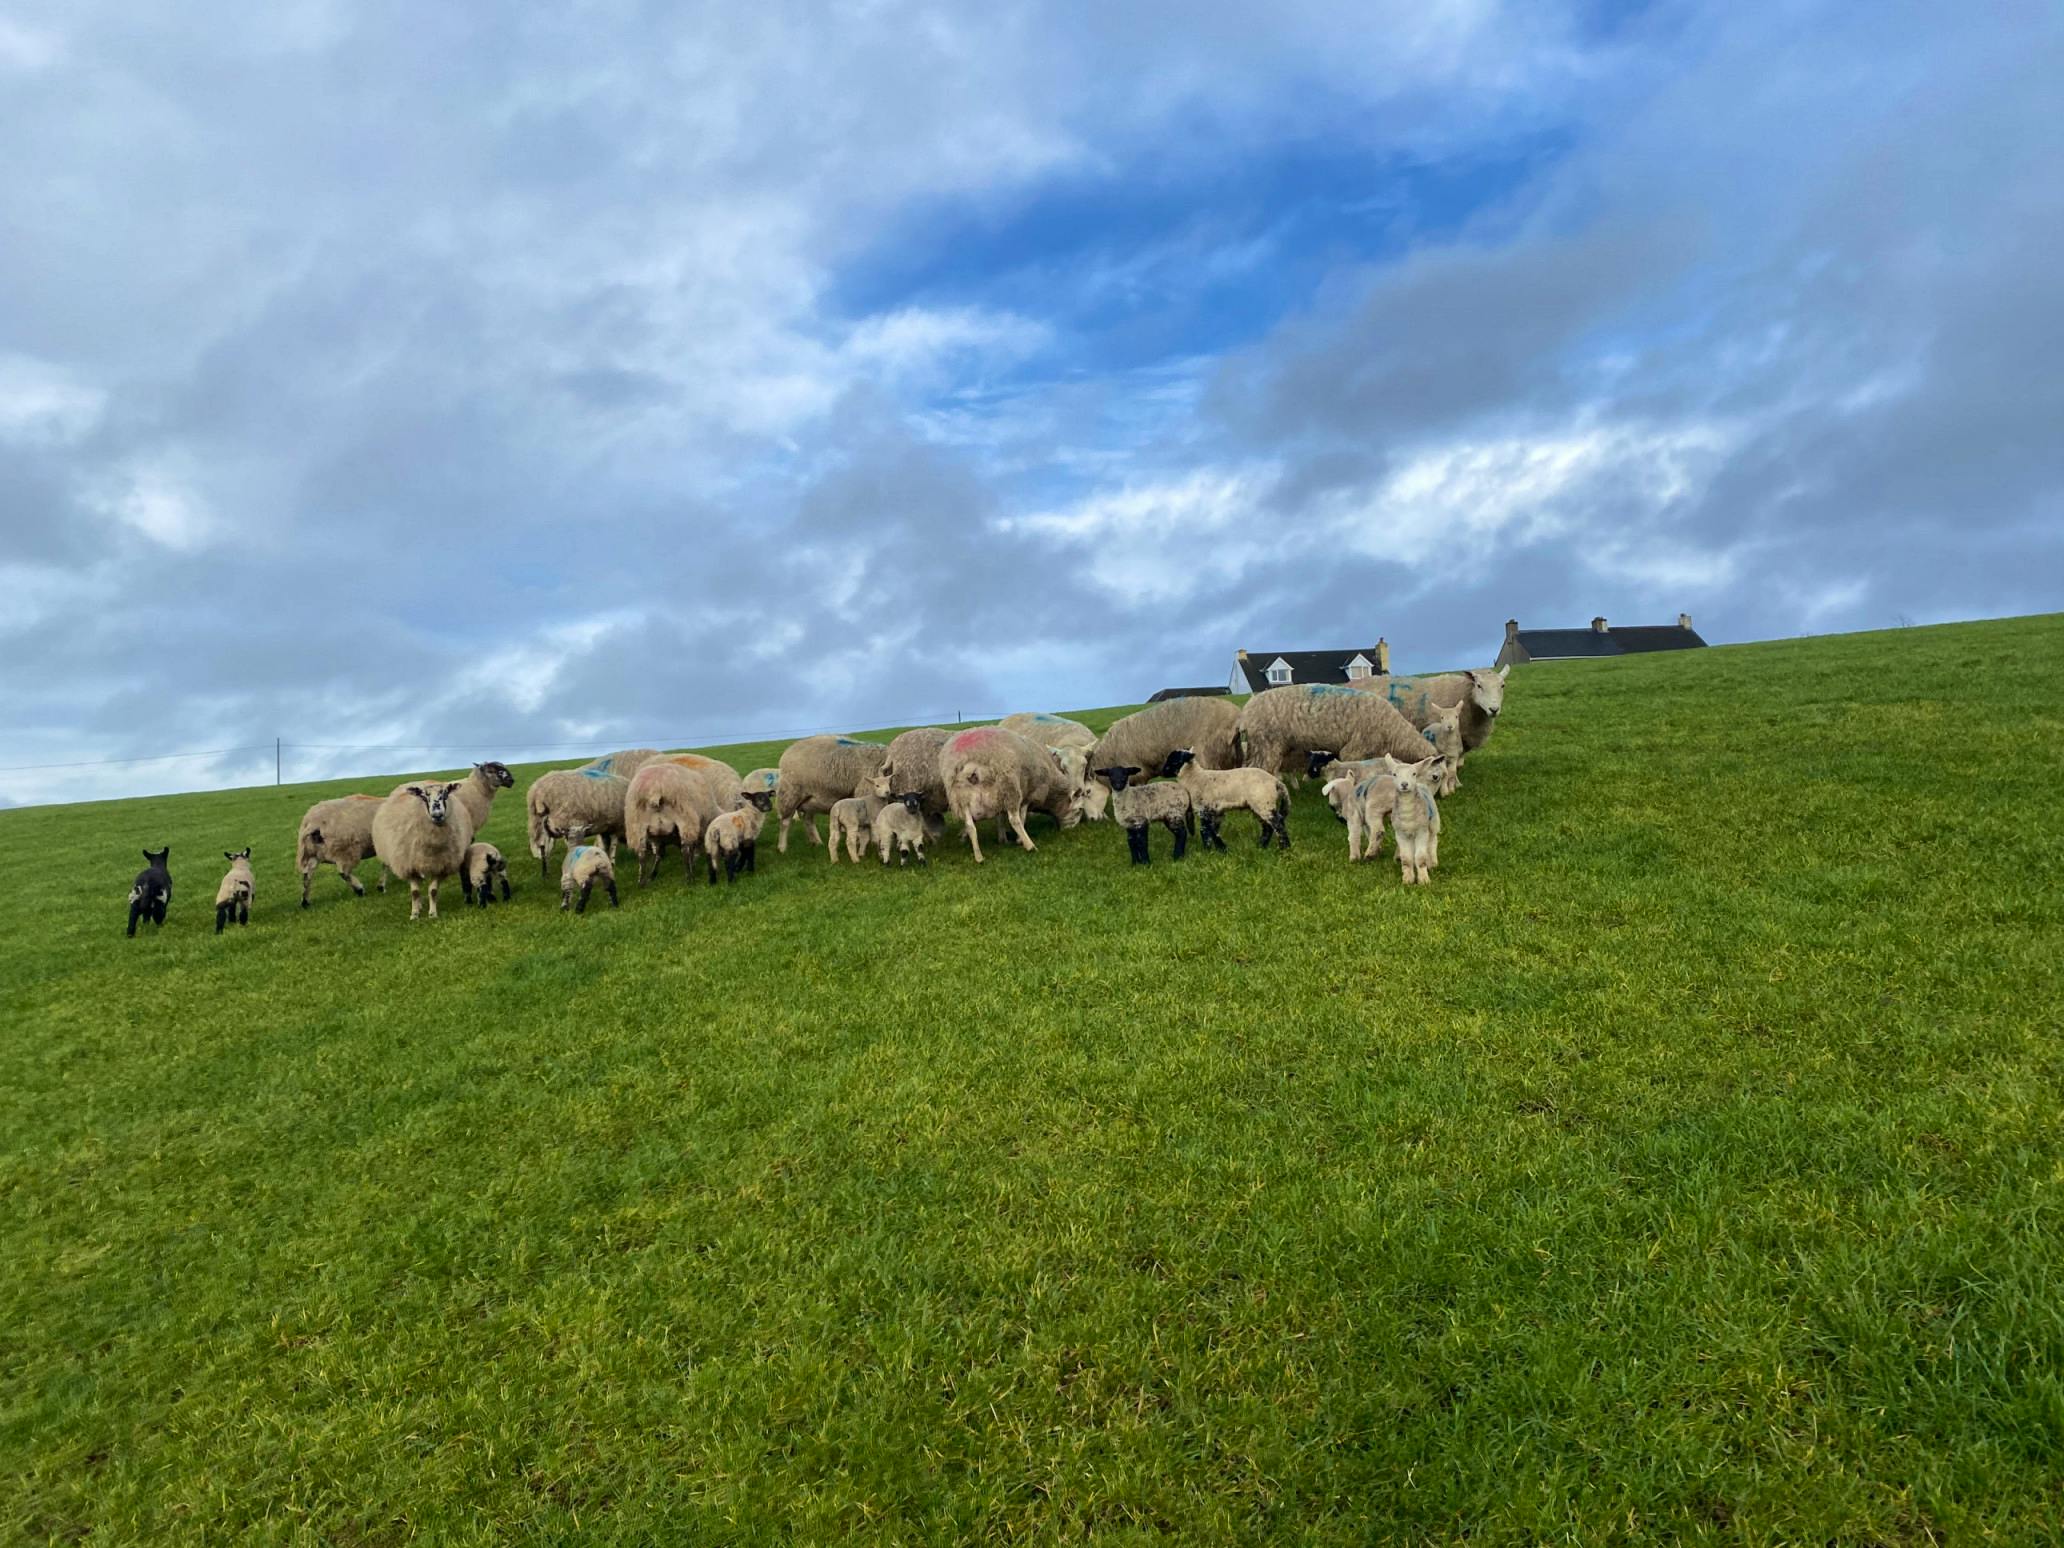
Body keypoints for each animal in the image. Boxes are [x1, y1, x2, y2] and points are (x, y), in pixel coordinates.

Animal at [372, 779, 476, 920]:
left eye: (445, 794)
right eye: (424, 797)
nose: (437, 814)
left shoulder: (440, 866)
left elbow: (433, 891)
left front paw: (432, 913)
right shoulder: (409, 866)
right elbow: (415, 892)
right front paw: (414, 914)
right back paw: (418, 906)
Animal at [937, 726, 1085, 863]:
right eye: (1078, 810)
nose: (1071, 831)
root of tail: (966, 758)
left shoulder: (999, 799)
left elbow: (1000, 819)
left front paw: (1002, 839)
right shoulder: (1028, 795)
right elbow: (1022, 817)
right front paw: (1019, 840)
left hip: (960, 797)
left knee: (970, 825)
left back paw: (979, 857)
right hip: (1010, 786)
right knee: (1014, 819)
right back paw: (1030, 846)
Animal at [1084, 698, 1241, 822]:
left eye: (1087, 792)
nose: (1093, 819)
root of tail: (1236, 717)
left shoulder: (1138, 774)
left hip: (1209, 752)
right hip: (1231, 753)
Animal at [1238, 683, 1440, 781]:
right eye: (1436, 776)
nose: (1444, 799)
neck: (1395, 733)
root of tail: (1248, 708)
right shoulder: (1356, 748)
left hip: (1272, 745)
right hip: (1266, 743)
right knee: (1256, 769)